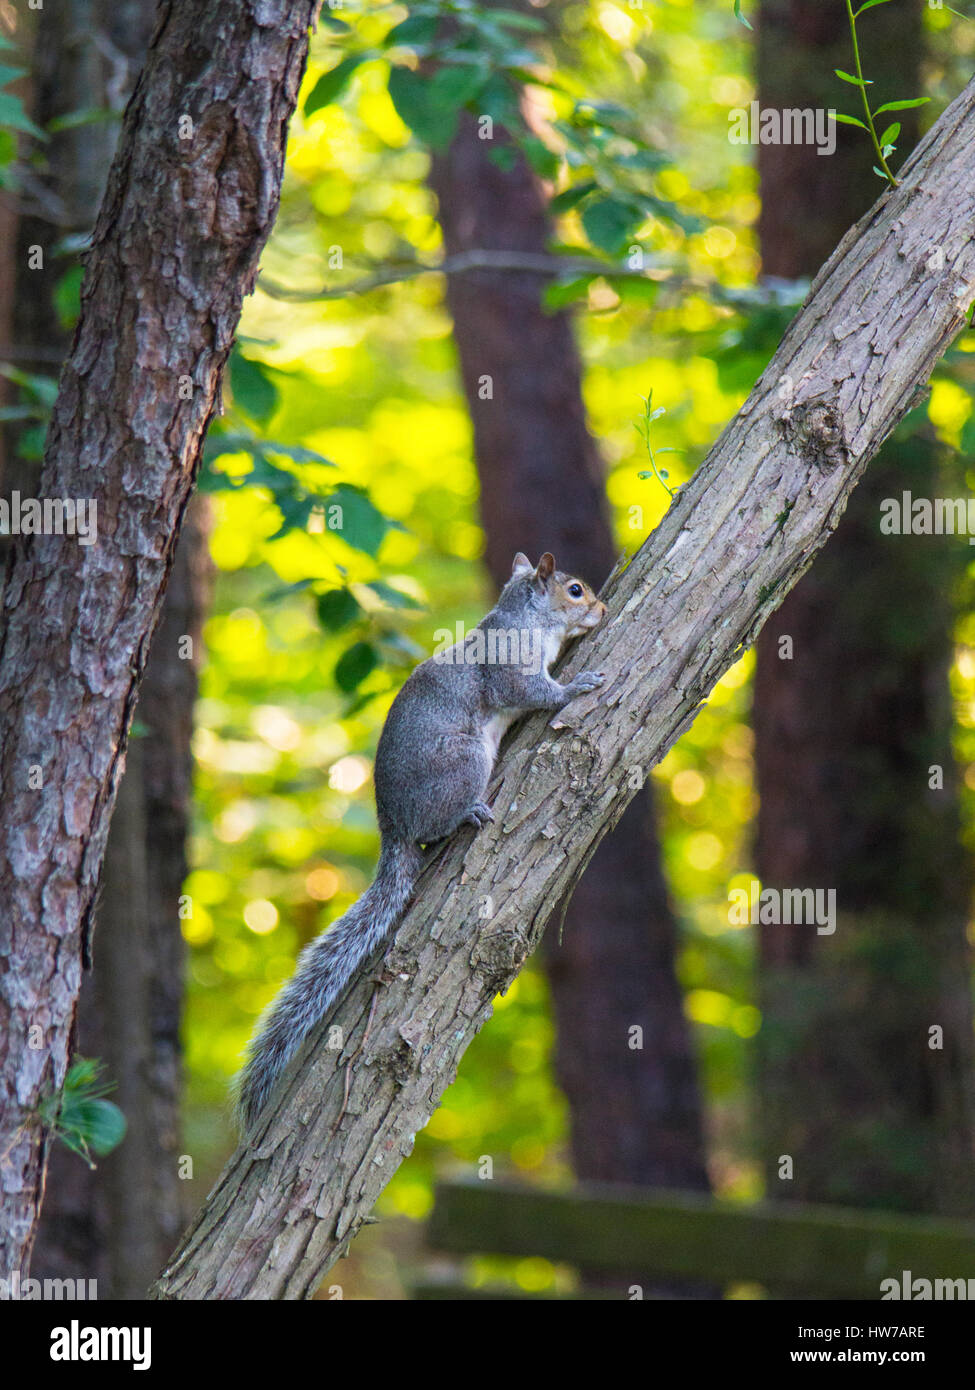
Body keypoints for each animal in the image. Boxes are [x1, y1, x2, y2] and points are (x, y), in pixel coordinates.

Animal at [234, 551, 607, 1129]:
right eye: (574, 590)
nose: (603, 608)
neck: (526, 619)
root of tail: (393, 824)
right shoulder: (511, 667)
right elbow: (531, 692)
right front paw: (577, 686)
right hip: (464, 762)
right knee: (437, 826)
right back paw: (466, 814)